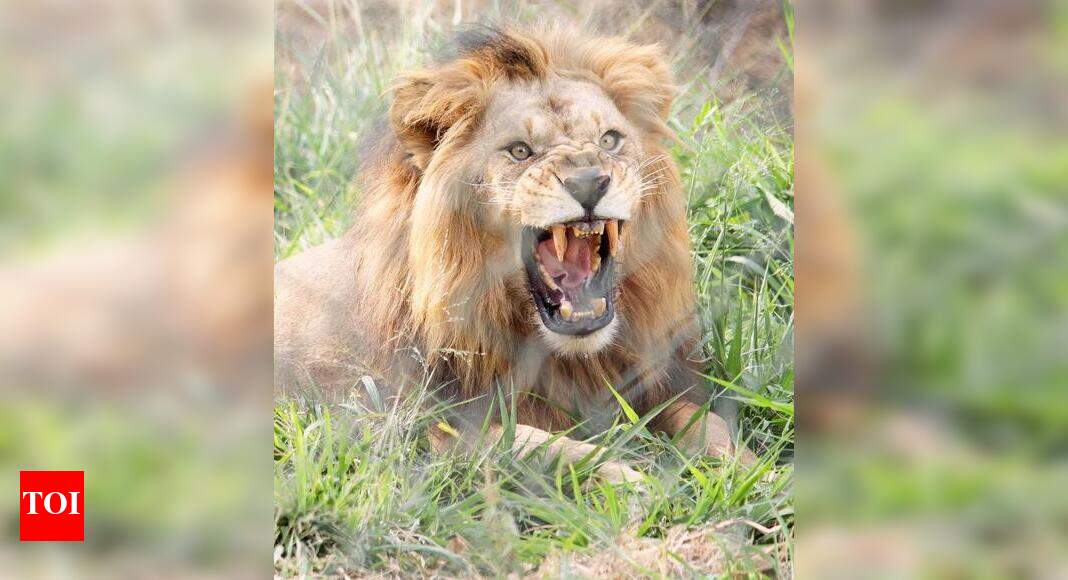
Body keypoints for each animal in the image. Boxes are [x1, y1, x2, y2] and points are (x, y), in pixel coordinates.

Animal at [275, 25, 756, 482]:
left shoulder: (654, 386)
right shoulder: (426, 430)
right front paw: (628, 478)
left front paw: (753, 472)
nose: (588, 181)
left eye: (609, 140)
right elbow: (537, 445)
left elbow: (709, 425)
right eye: (520, 151)